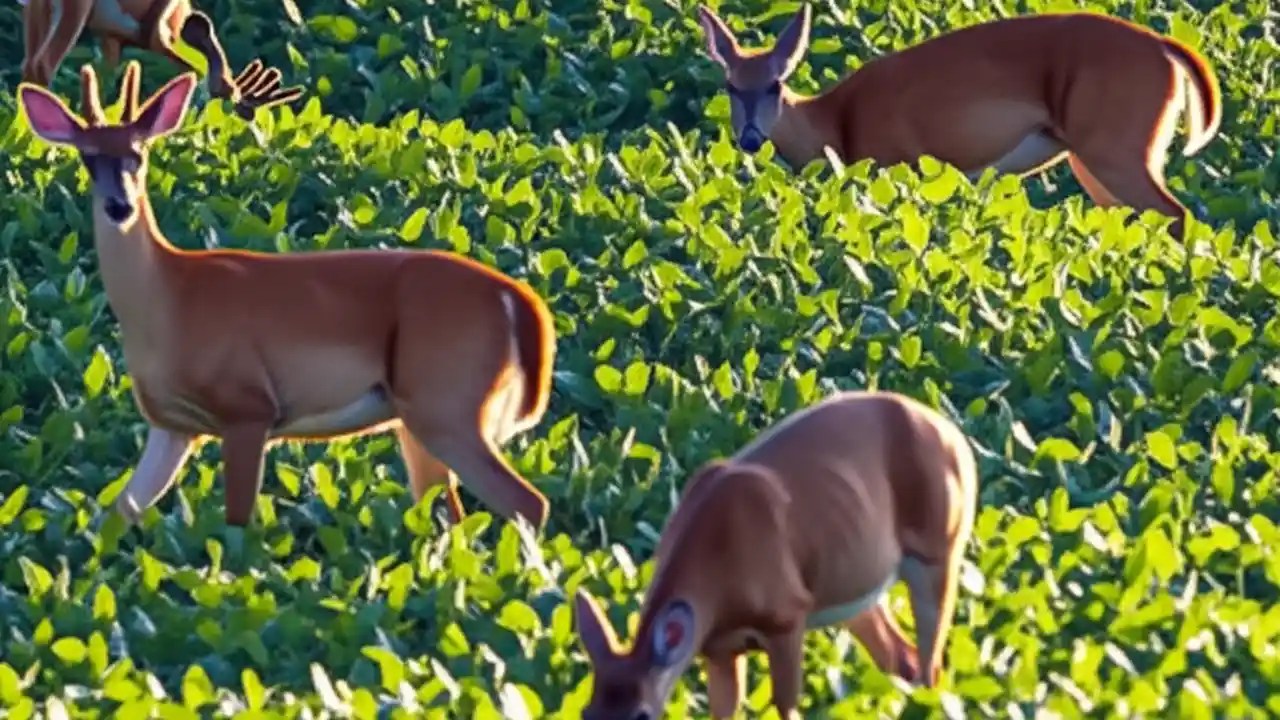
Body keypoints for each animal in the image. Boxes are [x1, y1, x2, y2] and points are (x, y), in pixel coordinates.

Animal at [16, 61, 558, 533]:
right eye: (89, 158)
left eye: (139, 153)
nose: (119, 206)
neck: (167, 301)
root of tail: (517, 298)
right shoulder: (171, 425)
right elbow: (117, 512)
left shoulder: (247, 406)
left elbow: (237, 524)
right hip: (418, 417)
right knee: (447, 514)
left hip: (446, 403)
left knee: (527, 502)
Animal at [21, 0, 303, 119]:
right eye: (236, 101)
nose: (247, 115)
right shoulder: (157, 31)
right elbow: (193, 71)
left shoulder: (110, 37)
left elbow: (104, 85)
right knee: (43, 64)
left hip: (38, 9)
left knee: (29, 65)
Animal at [573, 390, 979, 719]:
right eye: (586, 711)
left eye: (640, 715)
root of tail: (956, 436)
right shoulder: (717, 648)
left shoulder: (787, 616)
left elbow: (787, 708)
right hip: (852, 586)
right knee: (900, 657)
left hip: (941, 548)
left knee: (931, 666)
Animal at [696, 5, 1222, 240]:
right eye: (730, 86)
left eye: (775, 85)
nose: (749, 139)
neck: (837, 125)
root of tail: (1167, 49)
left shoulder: (900, 163)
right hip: (1091, 158)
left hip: (1116, 145)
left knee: (1178, 214)